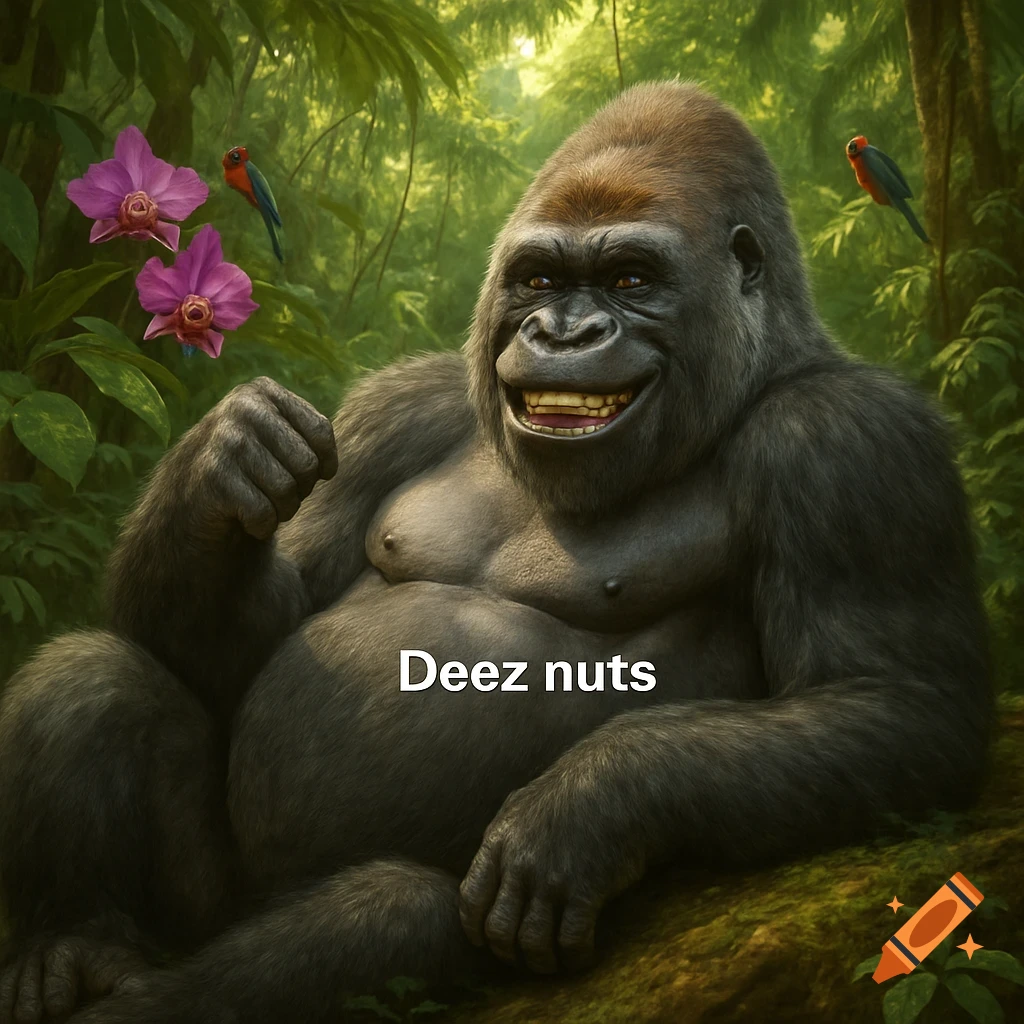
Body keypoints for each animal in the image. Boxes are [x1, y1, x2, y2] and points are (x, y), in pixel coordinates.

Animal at [0, 82, 991, 1023]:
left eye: (631, 277)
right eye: (538, 277)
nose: (562, 334)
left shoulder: (852, 440)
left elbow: (893, 703)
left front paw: (584, 807)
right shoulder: (396, 407)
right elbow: (246, 646)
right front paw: (223, 460)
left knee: (389, 917)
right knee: (94, 675)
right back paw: (77, 945)